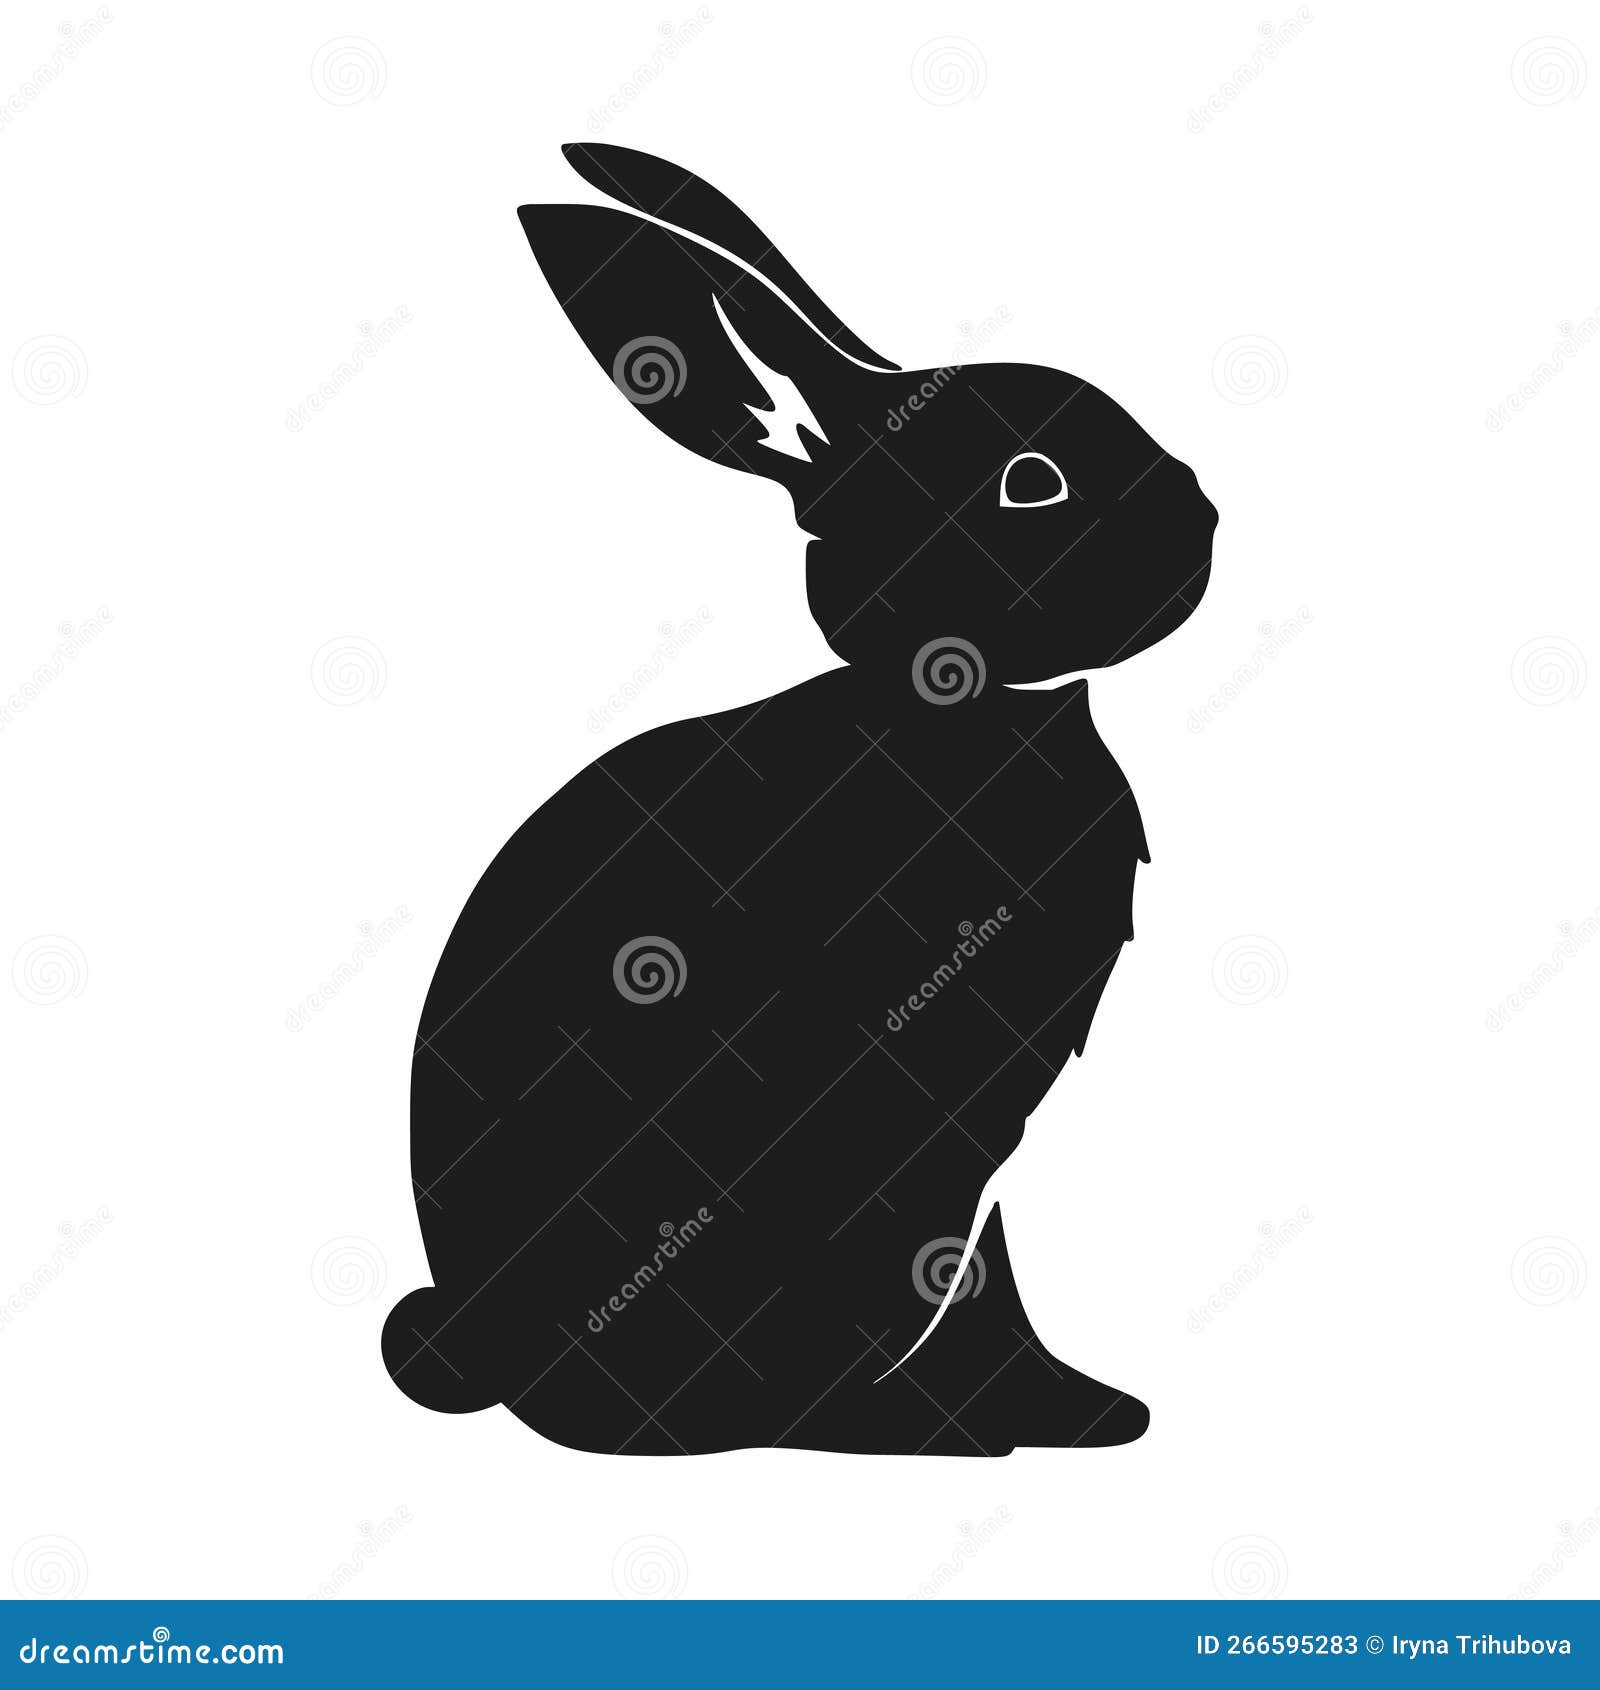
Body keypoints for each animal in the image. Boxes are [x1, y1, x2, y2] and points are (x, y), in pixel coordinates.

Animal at [382, 143, 1217, 1455]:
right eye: (1030, 482)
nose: (1204, 520)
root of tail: (479, 1350)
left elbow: (987, 1275)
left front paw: (1077, 1409)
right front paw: (952, 1422)